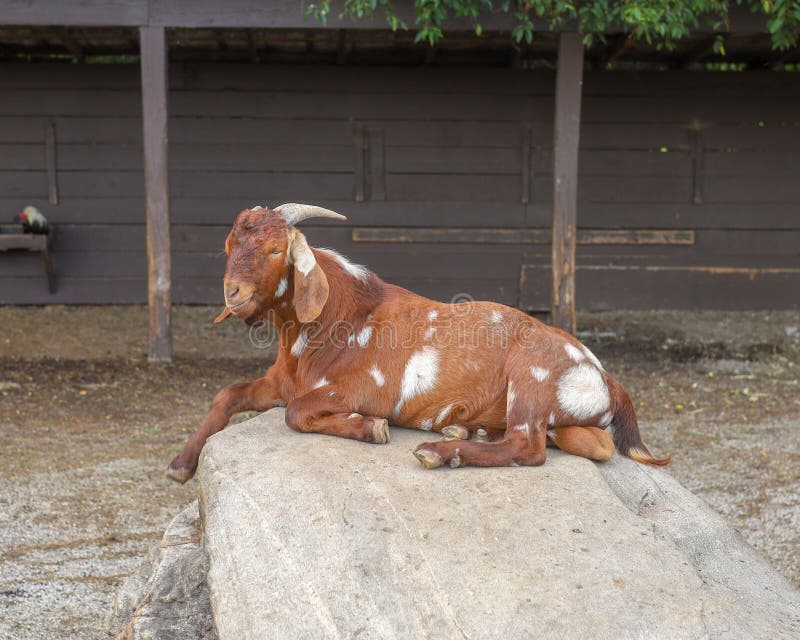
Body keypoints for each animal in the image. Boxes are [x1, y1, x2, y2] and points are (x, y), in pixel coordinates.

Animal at [166, 204, 670, 483]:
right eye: (228, 246)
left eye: (275, 250)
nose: (233, 293)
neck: (340, 318)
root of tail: (606, 378)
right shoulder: (279, 381)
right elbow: (227, 394)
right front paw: (181, 465)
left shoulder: (364, 388)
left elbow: (297, 413)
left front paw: (370, 428)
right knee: (591, 444)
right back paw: (466, 430)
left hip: (531, 376)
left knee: (528, 447)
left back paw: (440, 451)